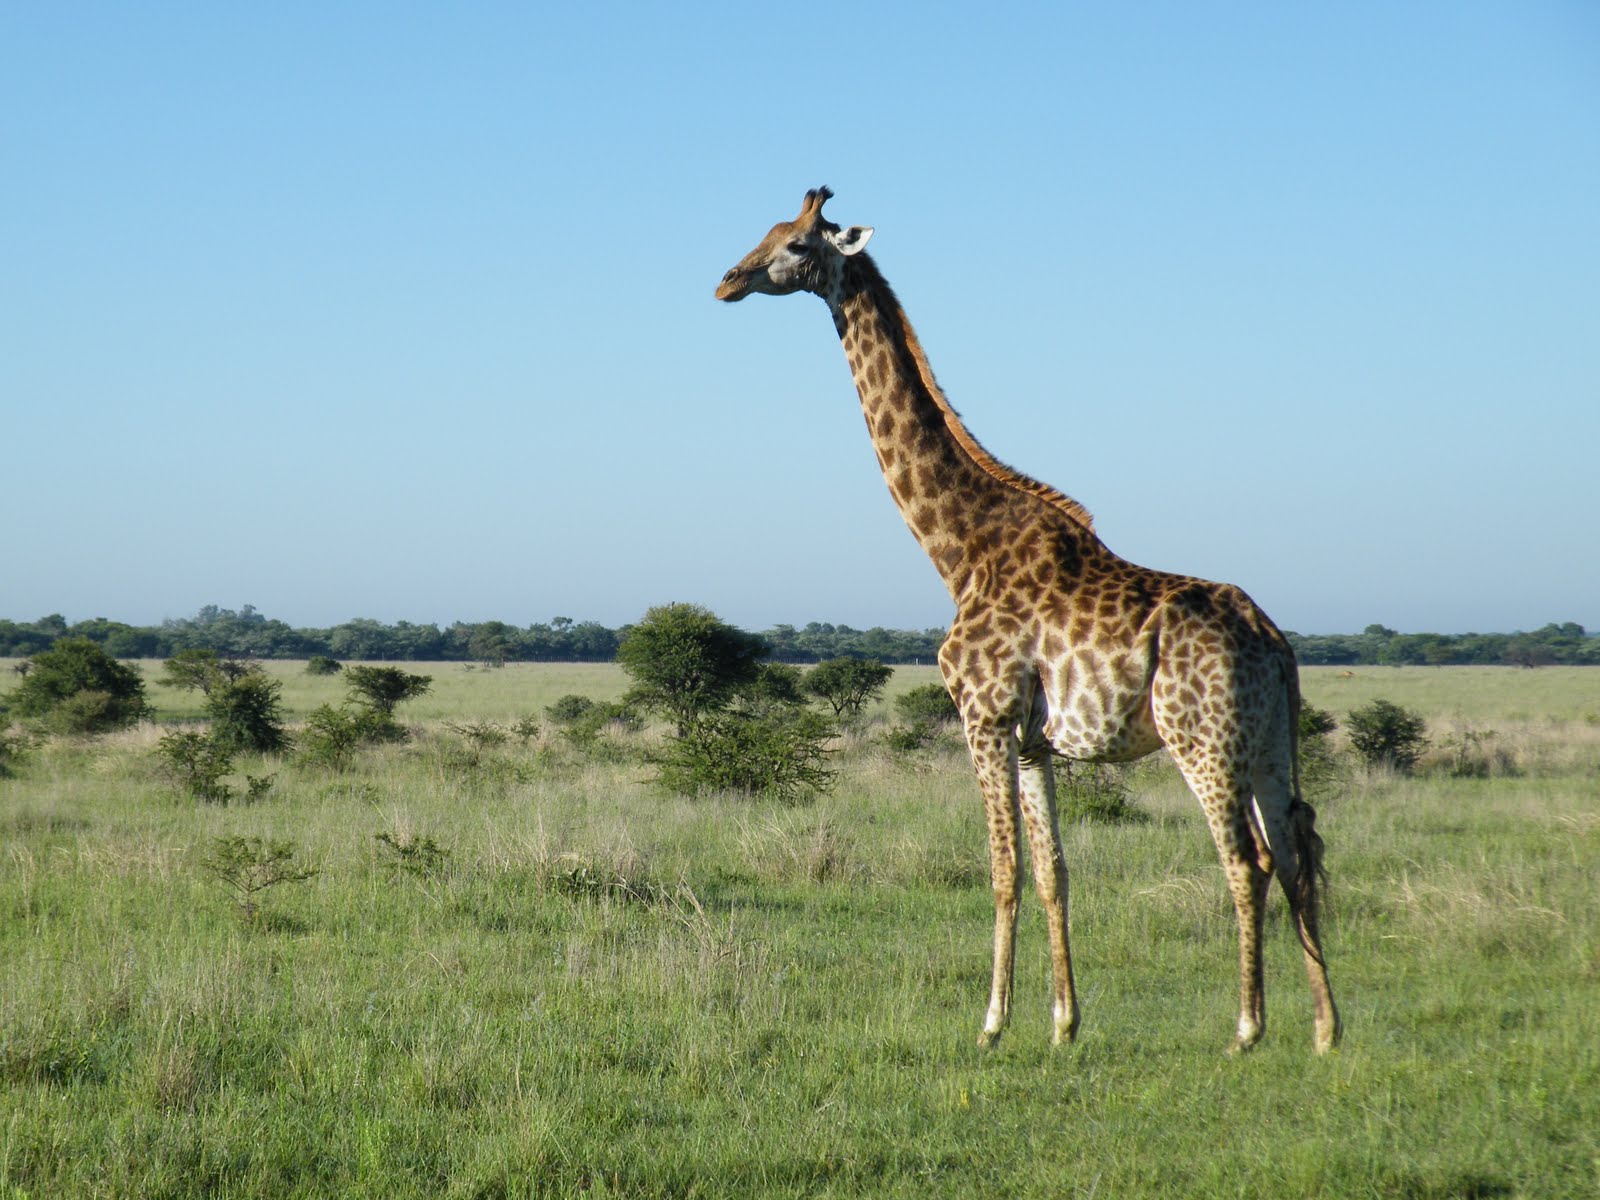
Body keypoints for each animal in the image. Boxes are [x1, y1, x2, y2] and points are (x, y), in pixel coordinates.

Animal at [716, 187, 1340, 1055]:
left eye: (799, 244)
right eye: (769, 233)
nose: (727, 281)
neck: (957, 549)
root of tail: (1276, 645)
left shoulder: (981, 715)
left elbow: (1003, 869)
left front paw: (990, 1024)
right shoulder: (1034, 737)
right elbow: (1054, 872)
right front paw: (1063, 1023)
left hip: (1202, 739)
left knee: (1246, 860)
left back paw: (1248, 1028)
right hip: (1273, 743)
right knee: (1294, 846)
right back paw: (1325, 1030)